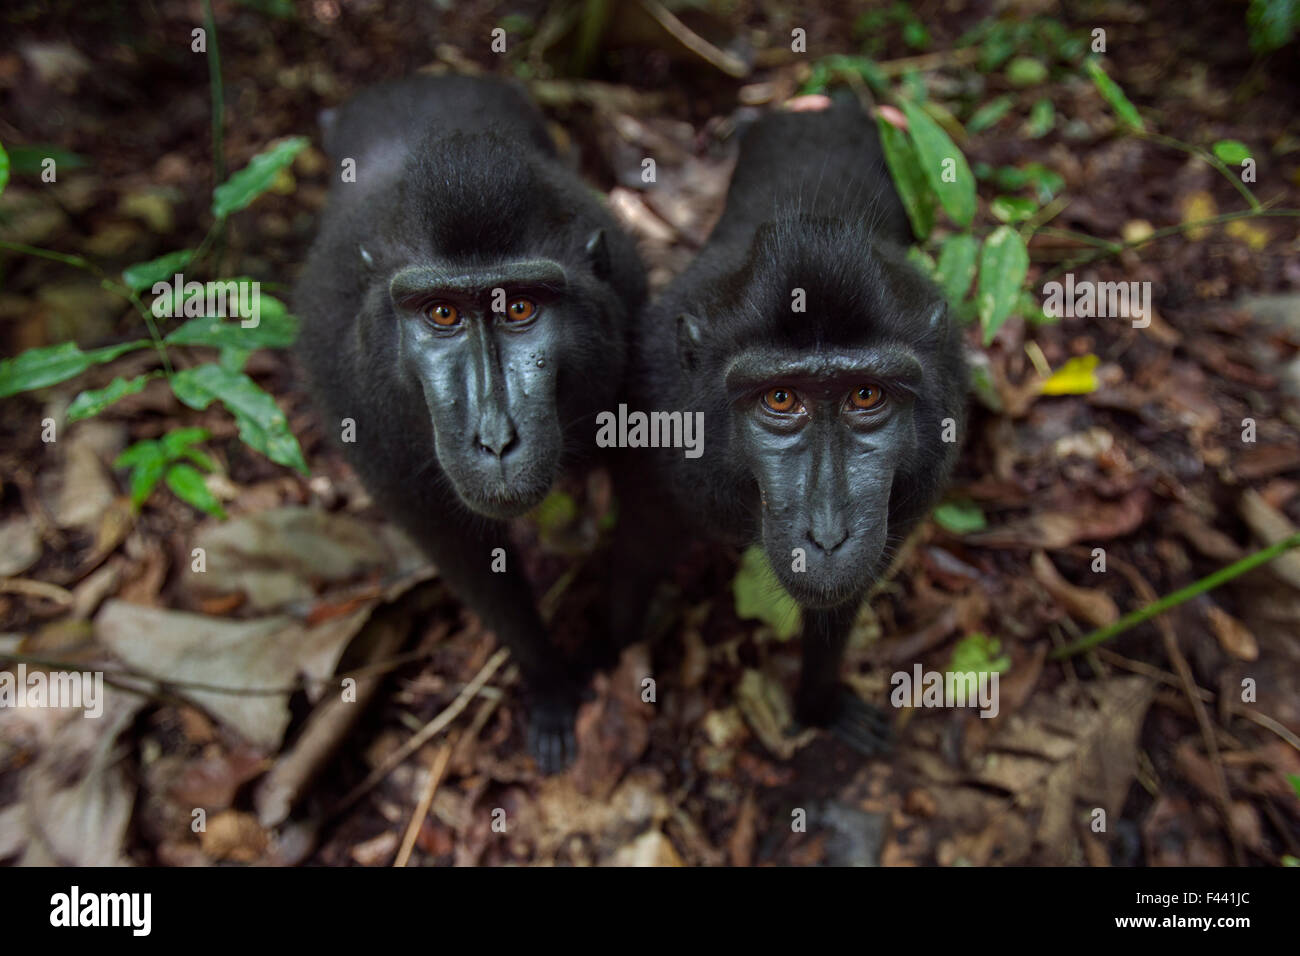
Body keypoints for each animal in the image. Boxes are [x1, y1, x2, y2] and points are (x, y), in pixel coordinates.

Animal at [294, 75, 646, 773]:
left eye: (520, 307)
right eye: (442, 313)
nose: (496, 438)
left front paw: (609, 647)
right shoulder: (362, 411)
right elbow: (462, 552)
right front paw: (549, 683)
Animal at [608, 101, 967, 756]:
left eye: (865, 394)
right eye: (781, 398)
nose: (826, 536)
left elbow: (844, 599)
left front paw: (820, 705)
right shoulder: (656, 428)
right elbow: (637, 555)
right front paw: (606, 670)